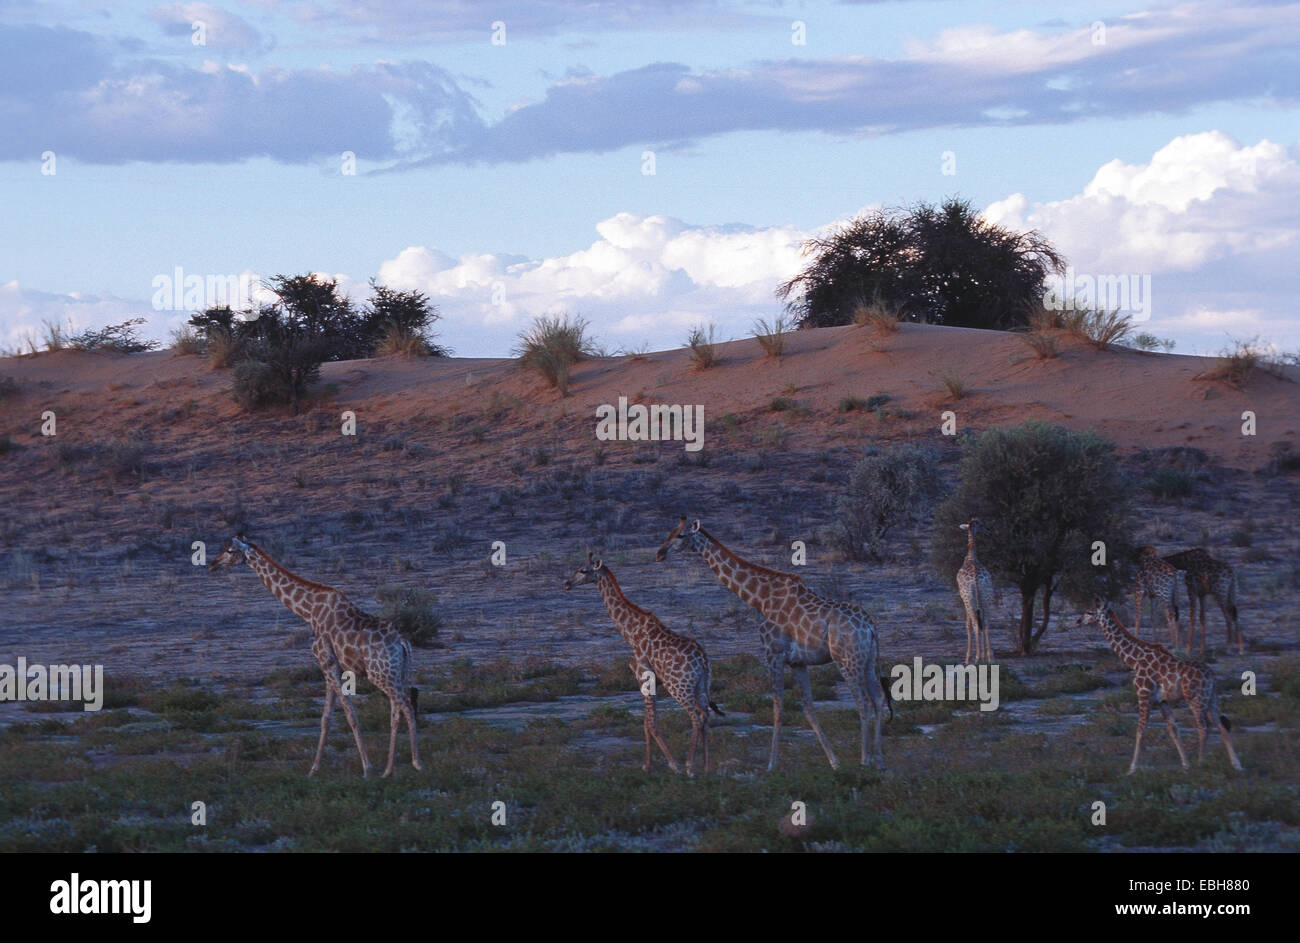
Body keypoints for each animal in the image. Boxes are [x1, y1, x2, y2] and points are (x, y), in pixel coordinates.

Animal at [208, 535, 421, 779]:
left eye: (230, 550)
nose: (212, 564)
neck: (308, 612)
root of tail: (403, 642)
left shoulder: (326, 662)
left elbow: (350, 715)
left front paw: (367, 769)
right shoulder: (331, 668)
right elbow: (325, 718)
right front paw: (313, 769)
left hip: (380, 674)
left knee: (406, 705)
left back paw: (416, 763)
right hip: (396, 674)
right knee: (396, 711)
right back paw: (388, 770)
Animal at [564, 552, 723, 775]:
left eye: (582, 570)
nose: (567, 584)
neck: (630, 631)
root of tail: (702, 659)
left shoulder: (643, 675)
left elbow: (651, 723)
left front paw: (671, 764)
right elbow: (647, 723)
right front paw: (647, 765)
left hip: (678, 687)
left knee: (696, 717)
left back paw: (689, 766)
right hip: (702, 685)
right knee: (706, 715)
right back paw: (707, 767)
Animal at [655, 518, 888, 771]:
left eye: (680, 535)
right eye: (669, 532)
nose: (659, 553)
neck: (761, 599)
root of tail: (871, 627)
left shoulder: (773, 654)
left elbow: (778, 709)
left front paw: (771, 764)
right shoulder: (797, 662)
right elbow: (808, 709)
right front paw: (834, 761)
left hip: (846, 659)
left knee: (863, 702)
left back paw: (865, 759)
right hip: (867, 660)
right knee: (878, 699)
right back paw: (878, 759)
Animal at [956, 517, 995, 664]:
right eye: (982, 524)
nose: (989, 531)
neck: (971, 557)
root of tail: (977, 581)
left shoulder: (963, 599)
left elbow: (967, 625)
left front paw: (967, 658)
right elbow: (982, 623)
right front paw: (985, 656)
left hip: (969, 600)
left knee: (975, 625)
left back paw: (977, 658)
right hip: (987, 597)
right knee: (986, 623)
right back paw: (990, 657)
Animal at [1075, 599, 1241, 774]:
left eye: (1089, 612)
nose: (1078, 621)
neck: (1134, 660)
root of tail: (1212, 676)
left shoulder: (1143, 694)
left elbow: (1140, 730)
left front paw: (1132, 768)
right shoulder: (1162, 701)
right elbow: (1173, 731)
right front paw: (1185, 764)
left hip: (1195, 698)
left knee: (1203, 727)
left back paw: (1201, 762)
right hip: (1211, 698)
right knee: (1221, 726)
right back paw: (1236, 764)